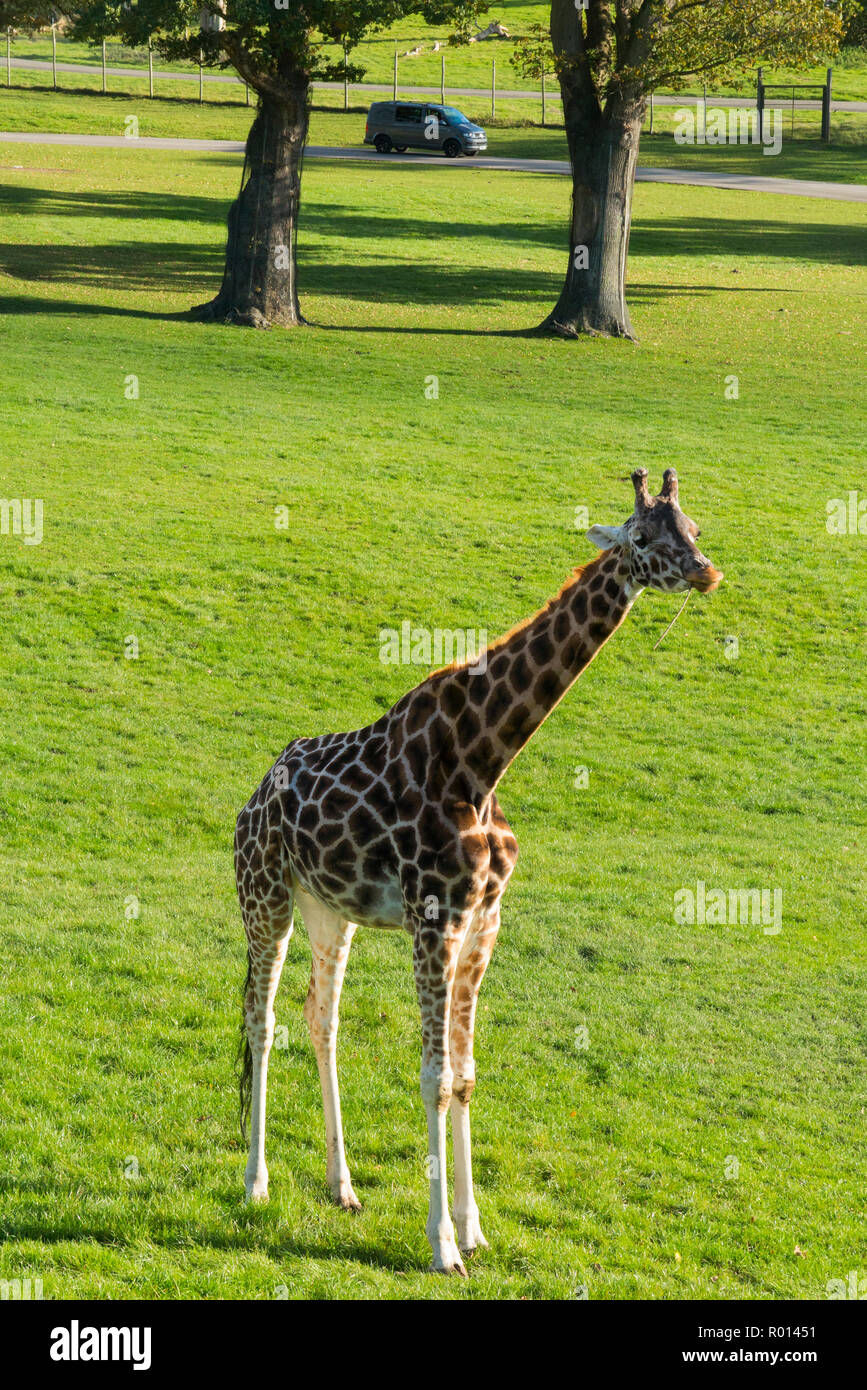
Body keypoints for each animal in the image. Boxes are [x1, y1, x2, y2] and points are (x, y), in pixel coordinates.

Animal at [234, 467, 722, 1275]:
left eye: (695, 528)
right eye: (643, 535)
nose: (706, 572)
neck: (484, 758)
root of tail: (252, 796)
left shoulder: (483, 920)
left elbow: (463, 1076)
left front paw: (473, 1230)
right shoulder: (435, 918)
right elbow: (432, 1078)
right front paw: (441, 1248)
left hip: (330, 911)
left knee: (320, 1017)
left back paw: (342, 1186)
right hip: (264, 895)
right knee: (261, 1017)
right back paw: (255, 1183)